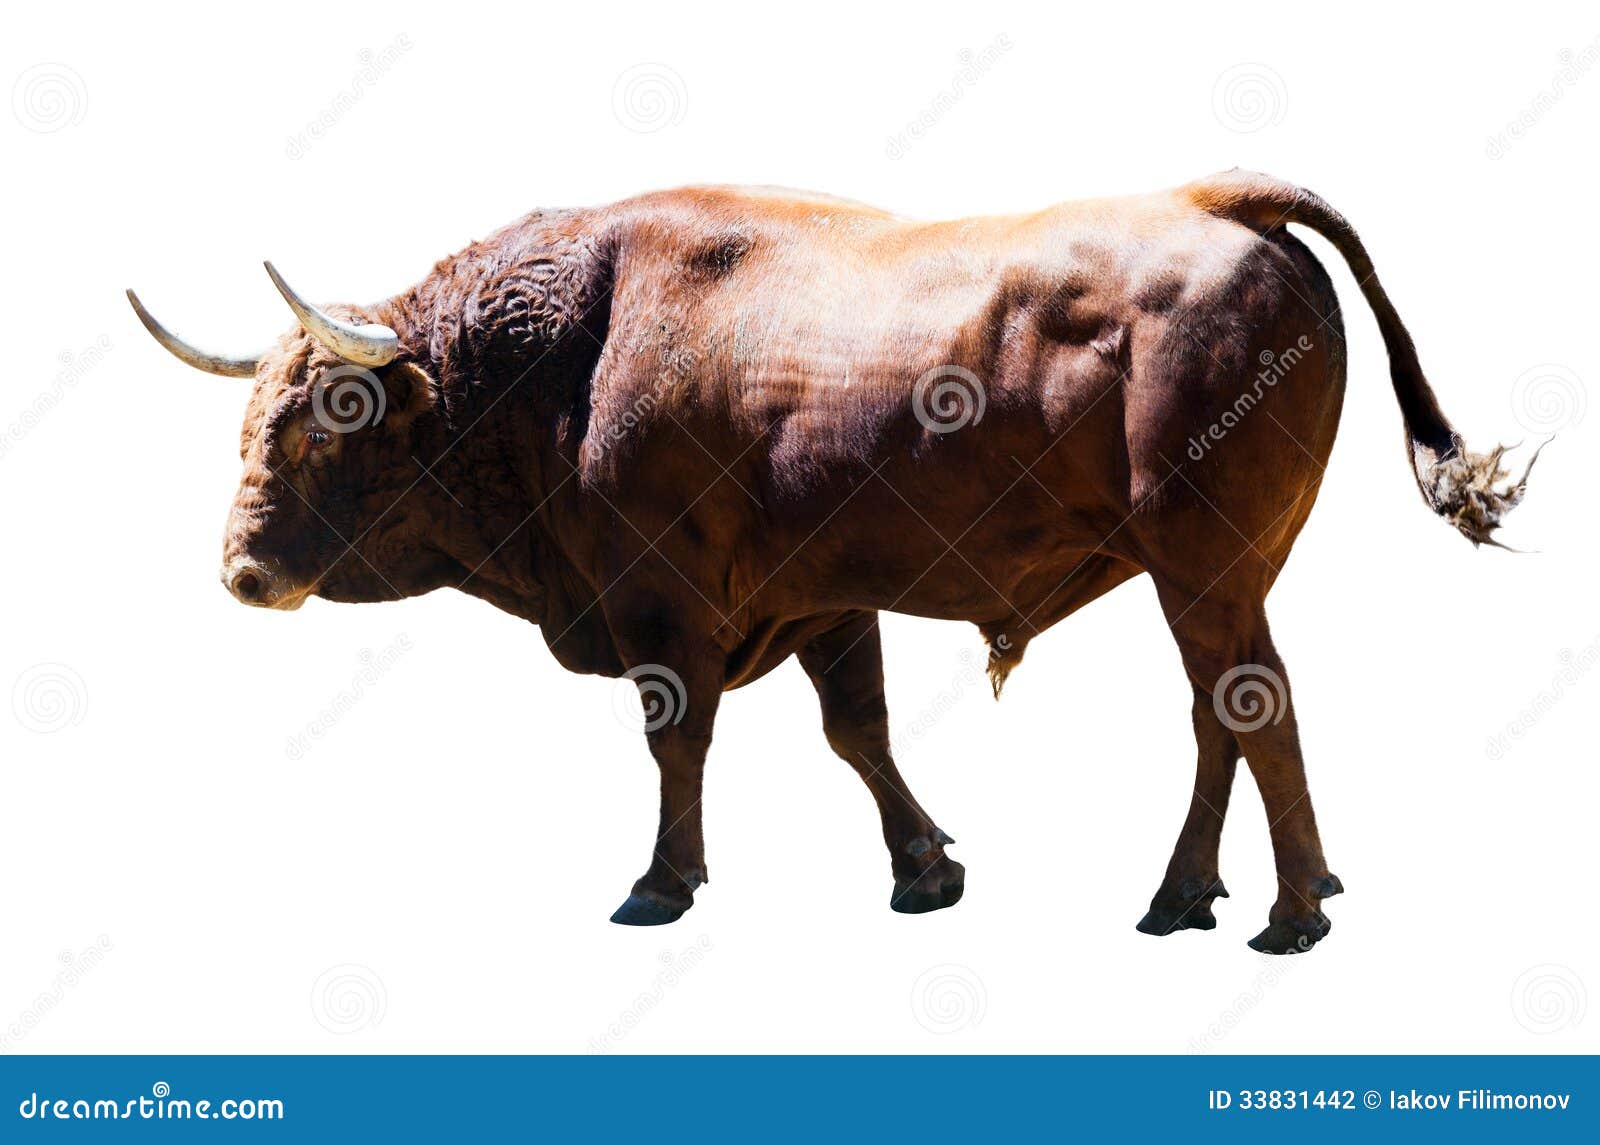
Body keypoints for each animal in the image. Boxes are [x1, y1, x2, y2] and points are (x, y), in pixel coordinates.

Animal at [128, 169, 1534, 953]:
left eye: (328, 420)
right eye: (250, 419)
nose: (241, 571)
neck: (568, 356)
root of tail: (1209, 201)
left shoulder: (662, 605)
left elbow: (679, 741)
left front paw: (660, 881)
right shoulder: (822, 598)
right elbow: (858, 730)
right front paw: (927, 869)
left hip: (1206, 566)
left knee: (1252, 708)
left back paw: (1288, 913)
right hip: (1214, 577)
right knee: (1217, 715)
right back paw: (1187, 893)